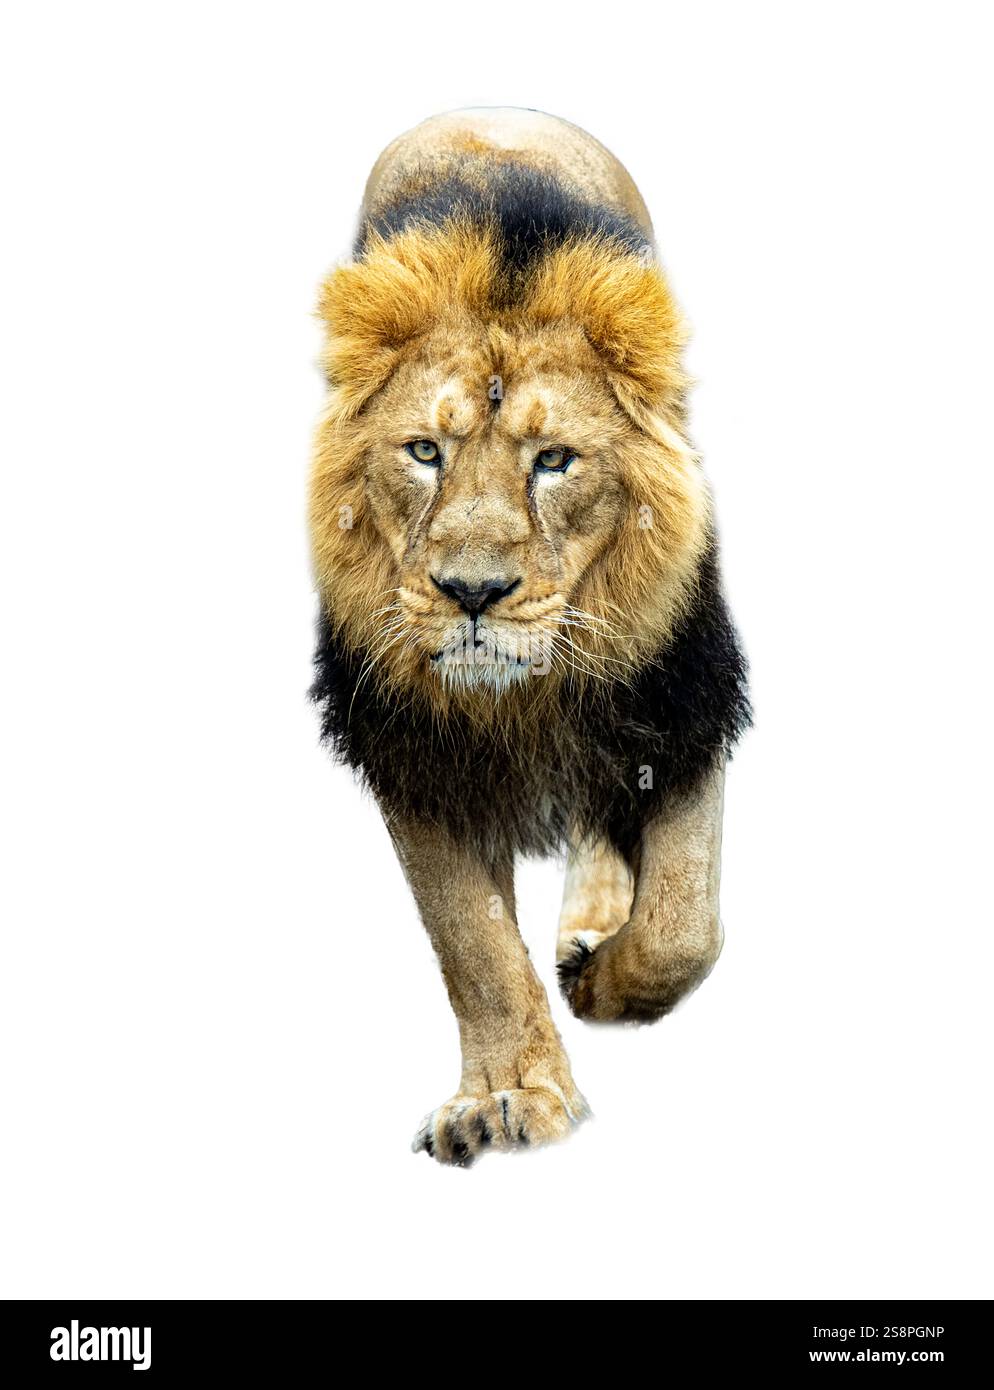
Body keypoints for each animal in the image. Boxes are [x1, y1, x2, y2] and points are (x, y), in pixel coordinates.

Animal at [309, 109, 750, 1165]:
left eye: (555, 461)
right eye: (424, 451)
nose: (473, 591)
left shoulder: (683, 696)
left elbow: (682, 923)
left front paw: (601, 983)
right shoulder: (409, 749)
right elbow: (472, 944)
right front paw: (510, 1098)